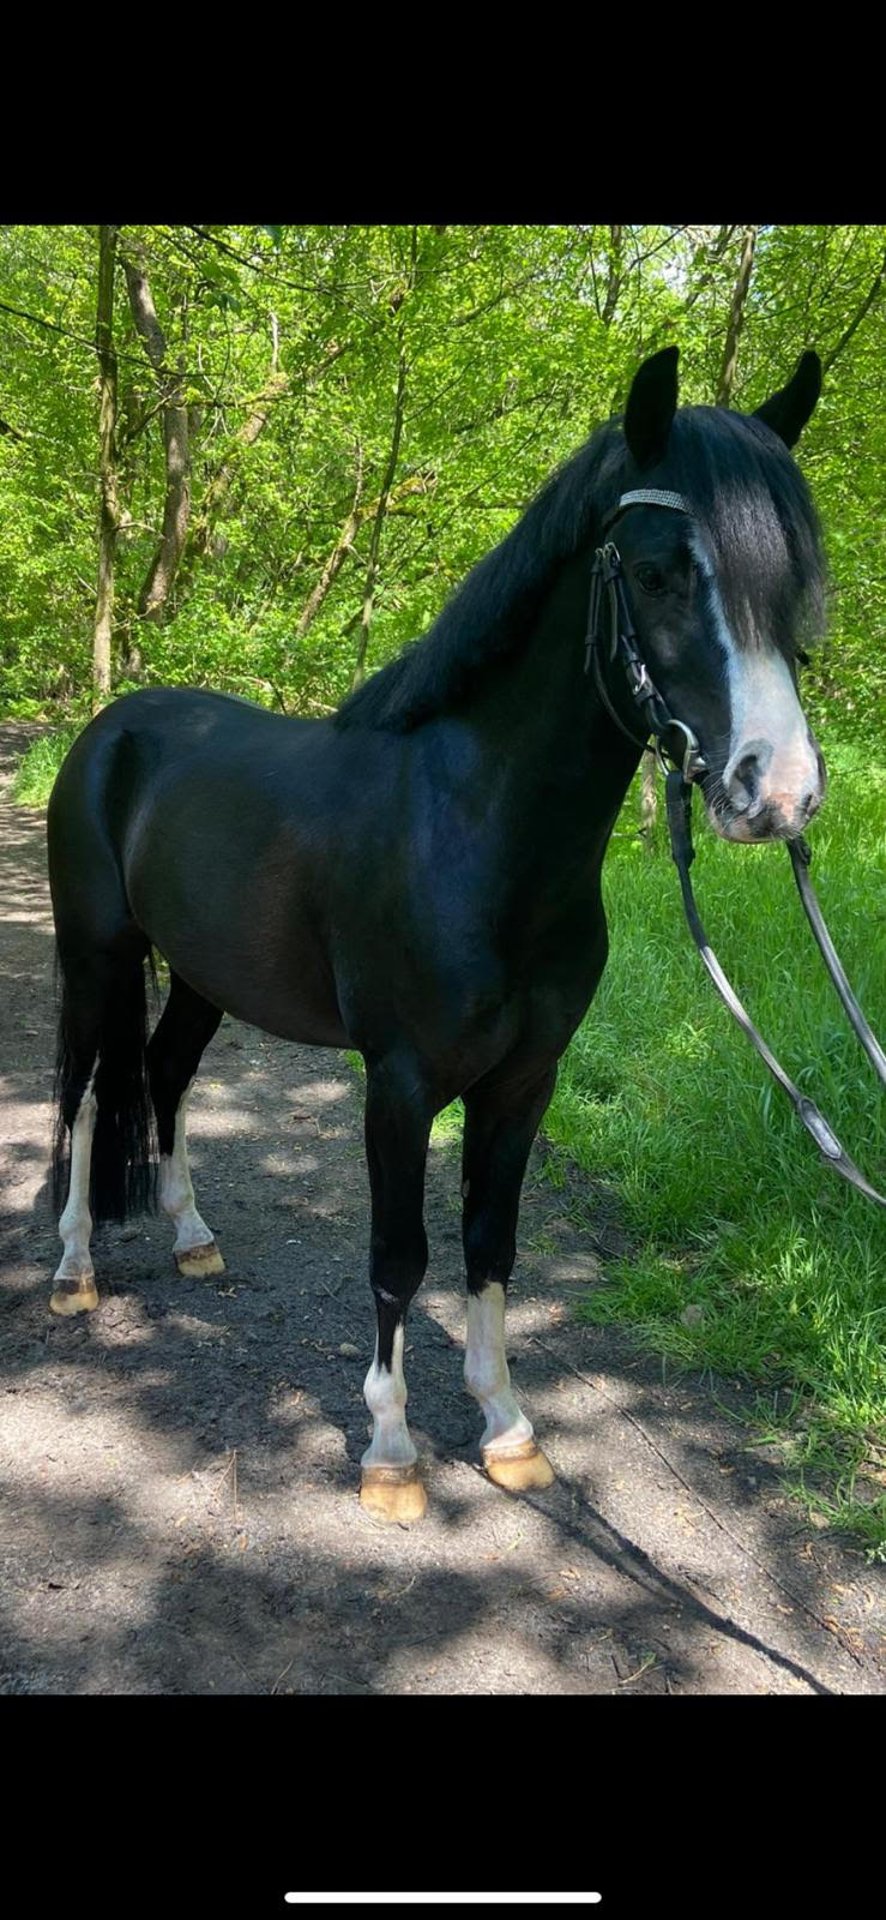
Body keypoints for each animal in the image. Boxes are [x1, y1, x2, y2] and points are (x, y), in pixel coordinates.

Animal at [47, 345, 826, 1523]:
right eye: (655, 574)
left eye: (791, 582)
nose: (776, 792)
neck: (471, 831)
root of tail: (112, 726)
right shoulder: (402, 1081)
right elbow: (399, 1256)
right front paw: (390, 1451)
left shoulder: (526, 1079)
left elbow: (490, 1244)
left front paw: (507, 1431)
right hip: (96, 957)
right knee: (88, 1094)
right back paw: (73, 1272)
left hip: (200, 977)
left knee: (167, 1078)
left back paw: (191, 1241)